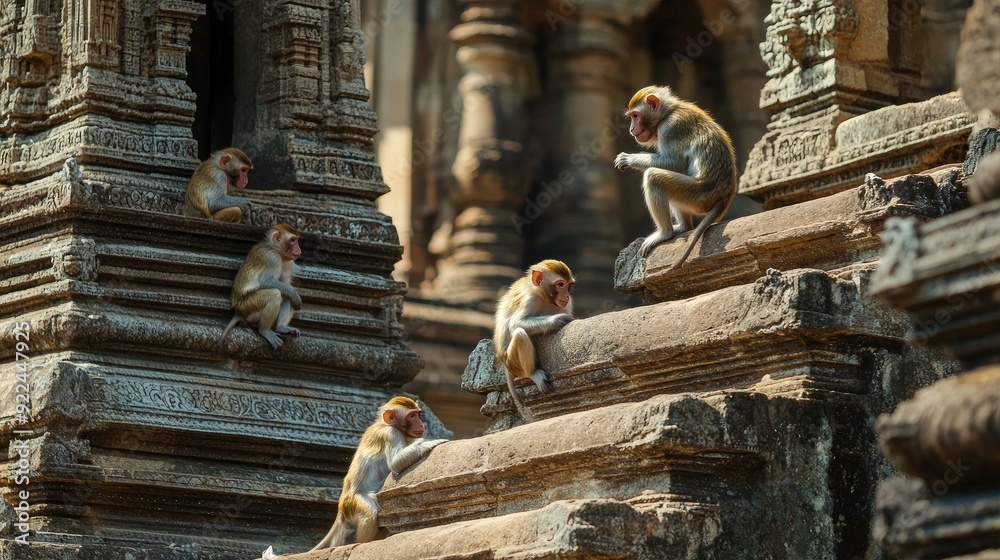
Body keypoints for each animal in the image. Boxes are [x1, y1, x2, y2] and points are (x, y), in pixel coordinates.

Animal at [260, 397, 447, 559]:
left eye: (418, 414)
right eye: (412, 416)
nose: (421, 423)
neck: (387, 424)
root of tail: (341, 508)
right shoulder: (390, 433)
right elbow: (395, 462)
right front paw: (431, 442)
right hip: (355, 502)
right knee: (370, 512)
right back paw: (364, 543)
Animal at [493, 260, 574, 423]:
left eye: (569, 285)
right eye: (560, 284)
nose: (567, 295)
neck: (544, 296)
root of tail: (504, 362)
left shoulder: (566, 305)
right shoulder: (529, 298)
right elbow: (516, 323)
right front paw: (558, 320)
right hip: (514, 363)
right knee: (519, 333)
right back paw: (533, 373)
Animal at [614, 85, 738, 267]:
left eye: (635, 116)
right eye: (631, 117)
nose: (631, 129)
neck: (667, 112)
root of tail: (724, 197)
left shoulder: (670, 128)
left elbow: (675, 163)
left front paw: (628, 158)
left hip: (698, 196)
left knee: (653, 177)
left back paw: (665, 233)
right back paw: (683, 227)